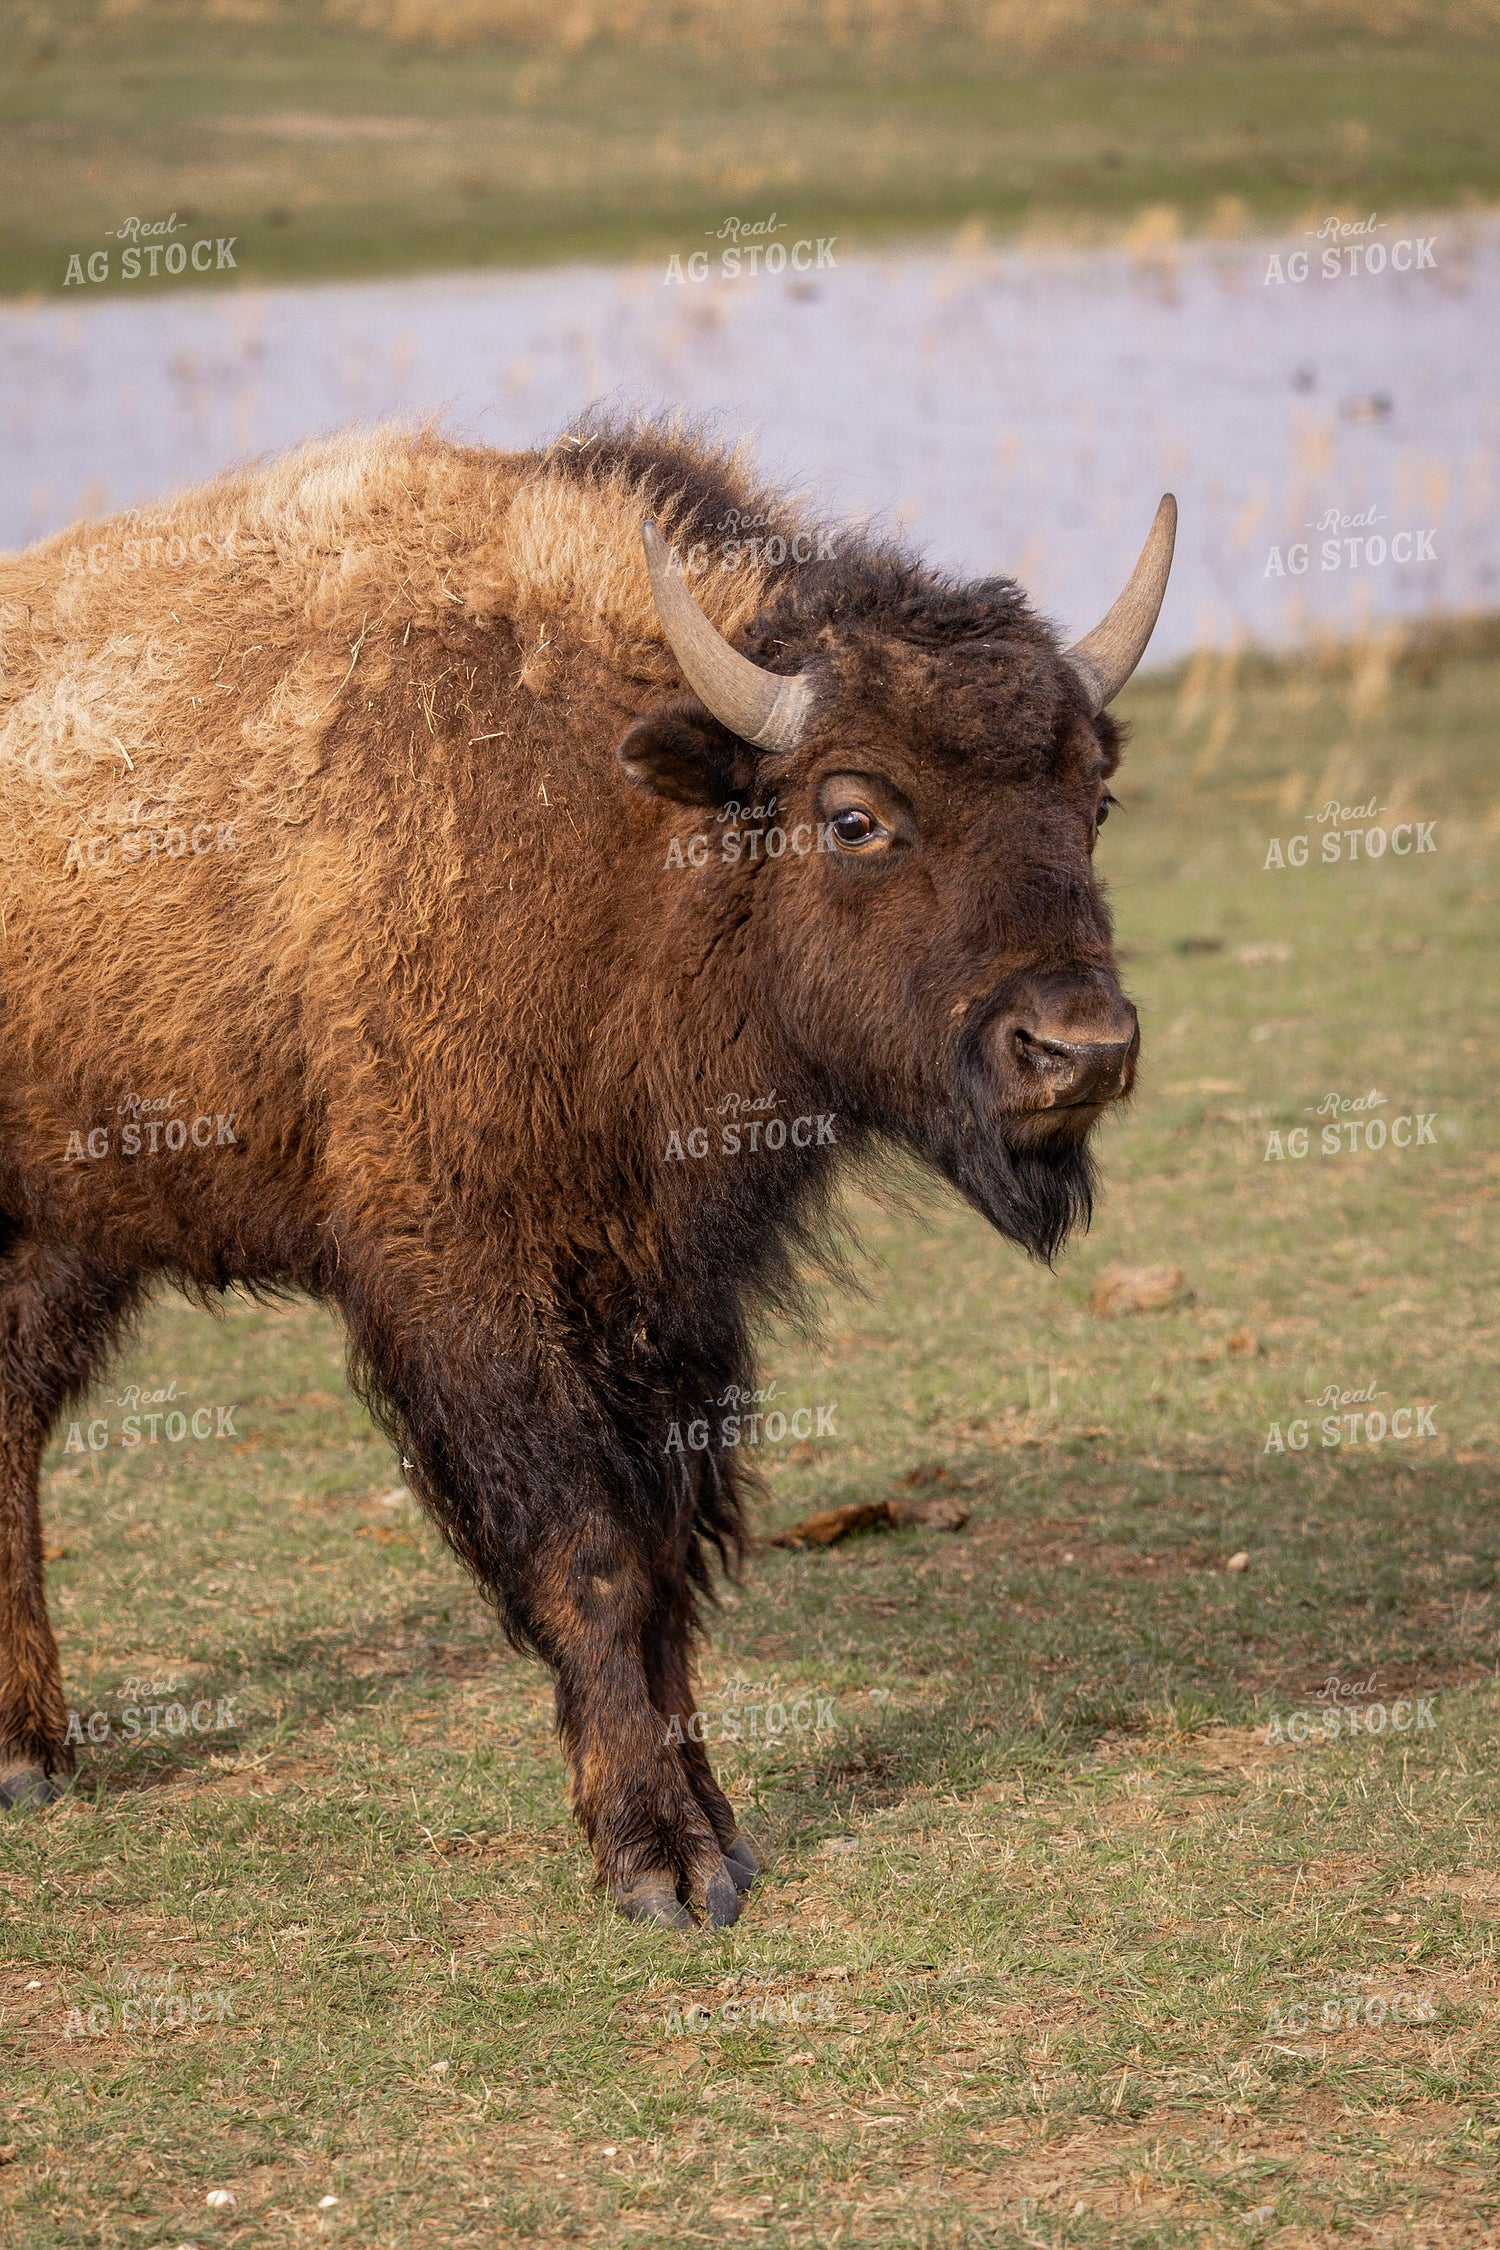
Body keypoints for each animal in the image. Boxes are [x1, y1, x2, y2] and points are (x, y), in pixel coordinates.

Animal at [0, 418, 1173, 1927]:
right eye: (853, 814)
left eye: (1097, 797)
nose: (1078, 1049)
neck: (627, 835)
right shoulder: (470, 1286)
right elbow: (594, 1549)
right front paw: (656, 1863)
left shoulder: (663, 1297)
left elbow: (666, 1557)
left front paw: (717, 1836)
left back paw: (30, 1751)